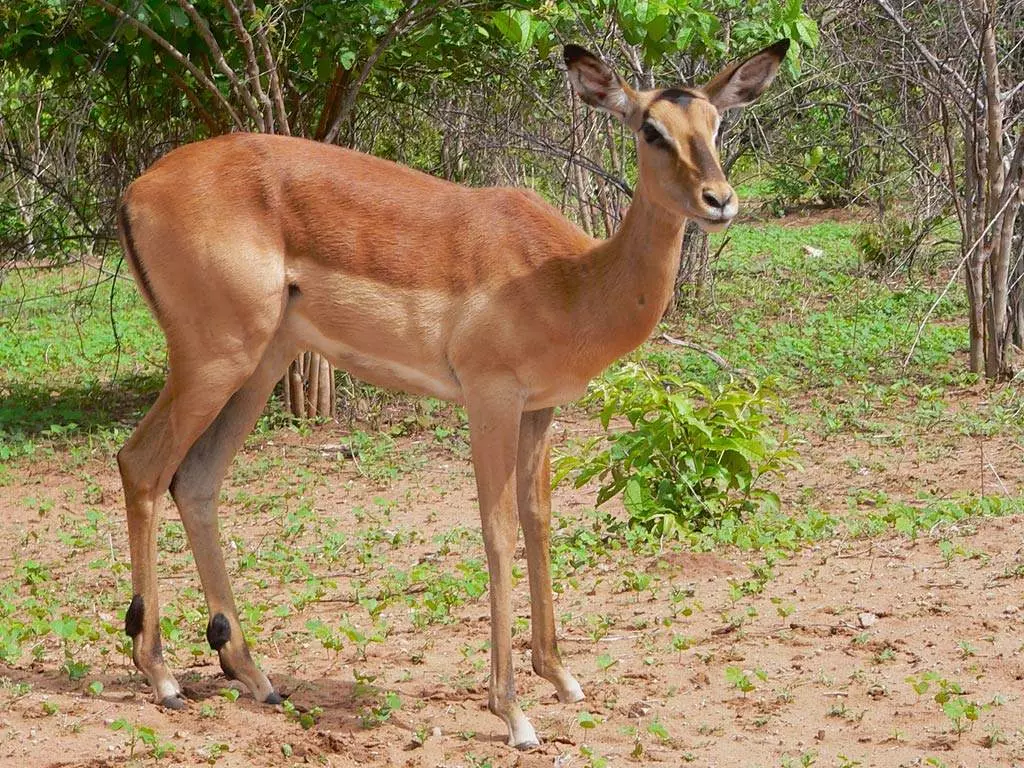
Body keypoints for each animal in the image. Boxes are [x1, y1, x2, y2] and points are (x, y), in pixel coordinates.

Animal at [117, 41, 790, 753]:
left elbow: (537, 519)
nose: (720, 200)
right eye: (651, 129)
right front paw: (513, 712)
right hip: (213, 361)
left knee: (195, 481)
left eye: (716, 123)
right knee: (142, 465)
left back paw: (254, 675)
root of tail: (139, 189)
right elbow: (497, 531)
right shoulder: (490, 398)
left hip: (259, 366)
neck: (569, 279)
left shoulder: (539, 408)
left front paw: (561, 676)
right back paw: (162, 677)